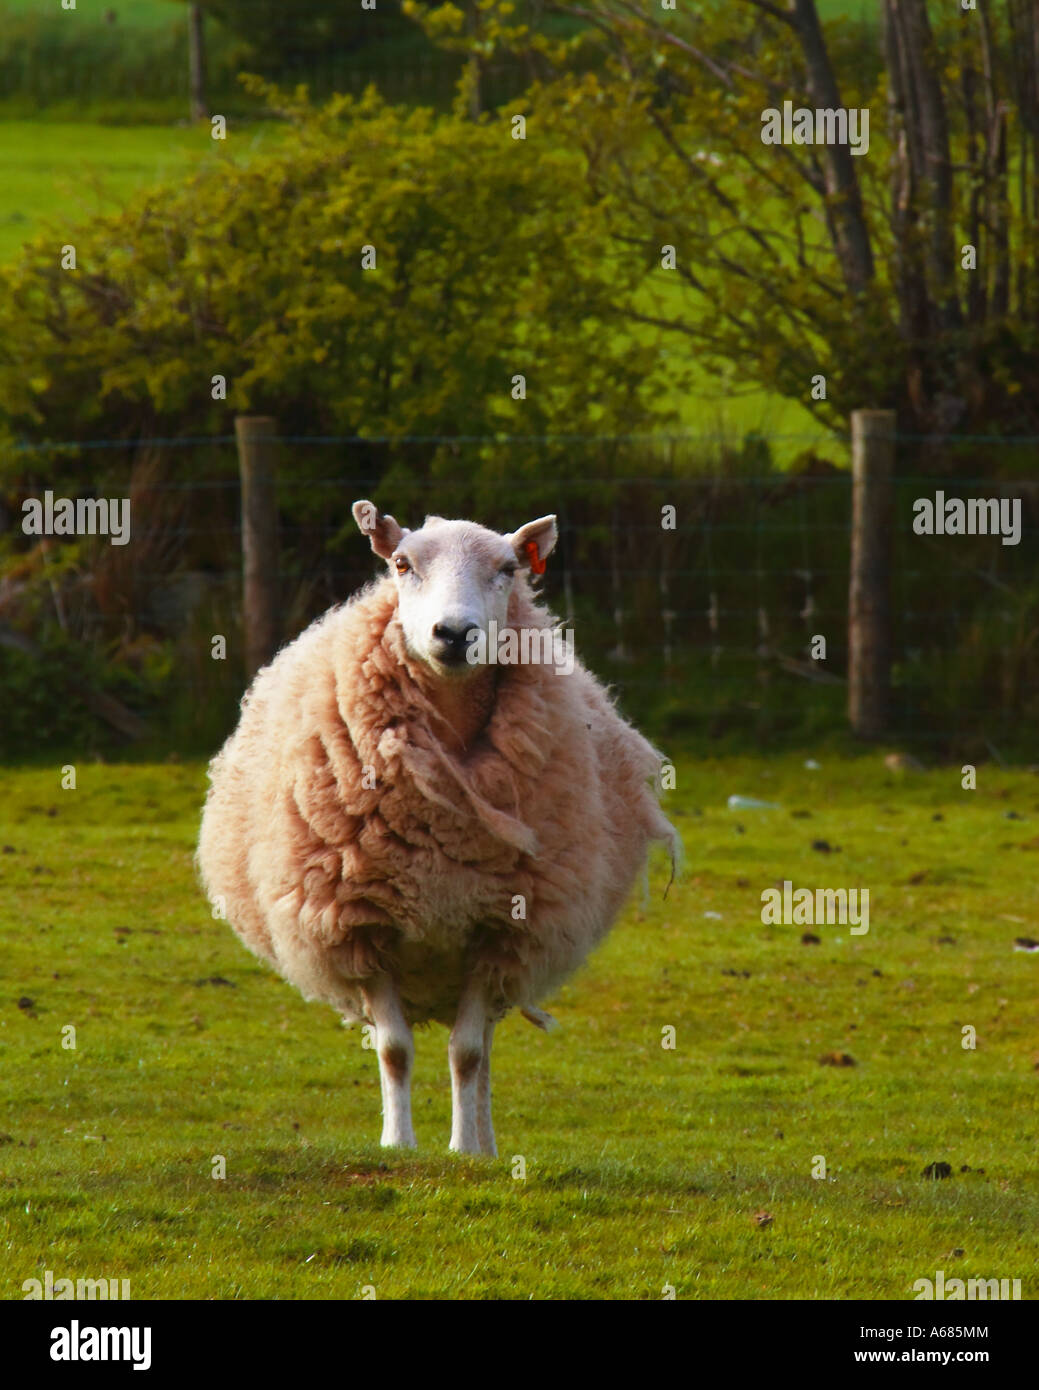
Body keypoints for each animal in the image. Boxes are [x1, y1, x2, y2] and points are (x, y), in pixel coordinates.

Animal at [197, 501, 678, 1155]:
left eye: (508, 569)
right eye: (402, 564)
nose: (454, 634)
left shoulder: (498, 930)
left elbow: (469, 1054)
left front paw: (464, 1151)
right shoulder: (360, 924)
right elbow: (395, 1051)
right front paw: (398, 1144)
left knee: (485, 1050)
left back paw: (487, 1144)